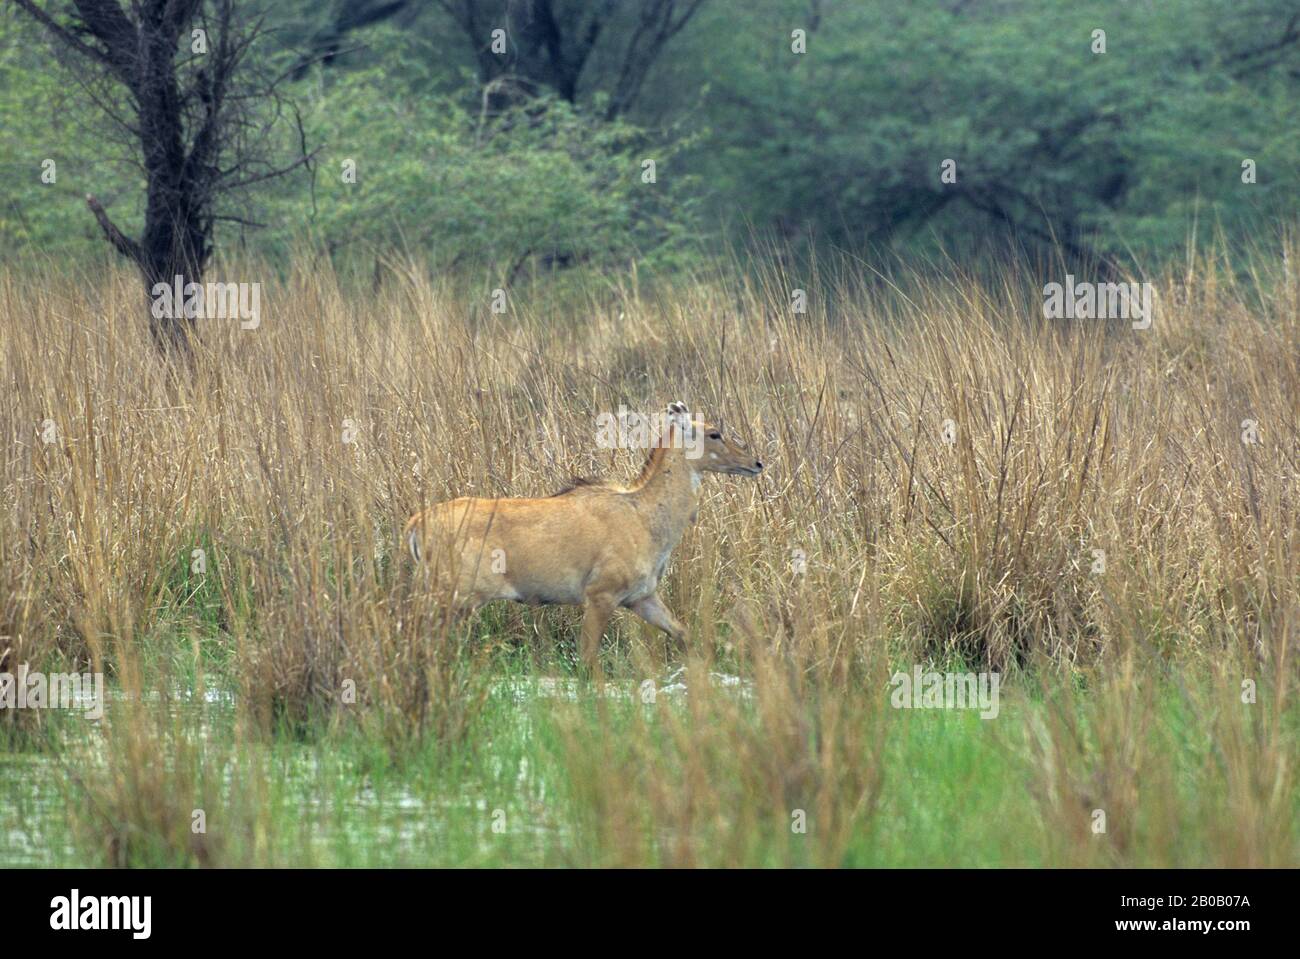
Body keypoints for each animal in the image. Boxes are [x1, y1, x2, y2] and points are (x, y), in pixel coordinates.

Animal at [404, 402, 763, 667]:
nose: (756, 462)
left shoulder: (641, 596)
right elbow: (587, 661)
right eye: (715, 433)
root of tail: (415, 525)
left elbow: (684, 634)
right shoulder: (600, 593)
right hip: (453, 593)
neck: (646, 518)